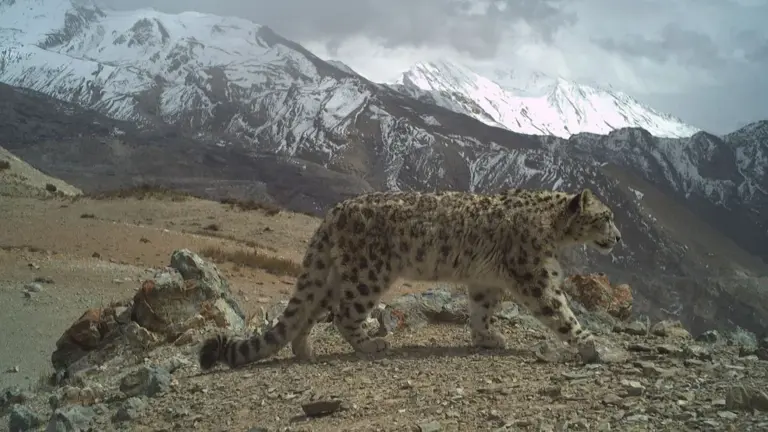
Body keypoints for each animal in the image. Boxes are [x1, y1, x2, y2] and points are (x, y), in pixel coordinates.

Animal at [198, 187, 622, 370]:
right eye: (605, 216)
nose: (619, 238)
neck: (554, 232)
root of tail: (334, 212)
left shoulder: (486, 281)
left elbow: (482, 311)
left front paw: (487, 338)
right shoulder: (535, 276)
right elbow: (561, 312)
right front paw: (592, 345)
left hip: (334, 274)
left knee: (311, 309)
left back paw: (305, 349)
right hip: (369, 273)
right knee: (344, 312)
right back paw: (371, 344)